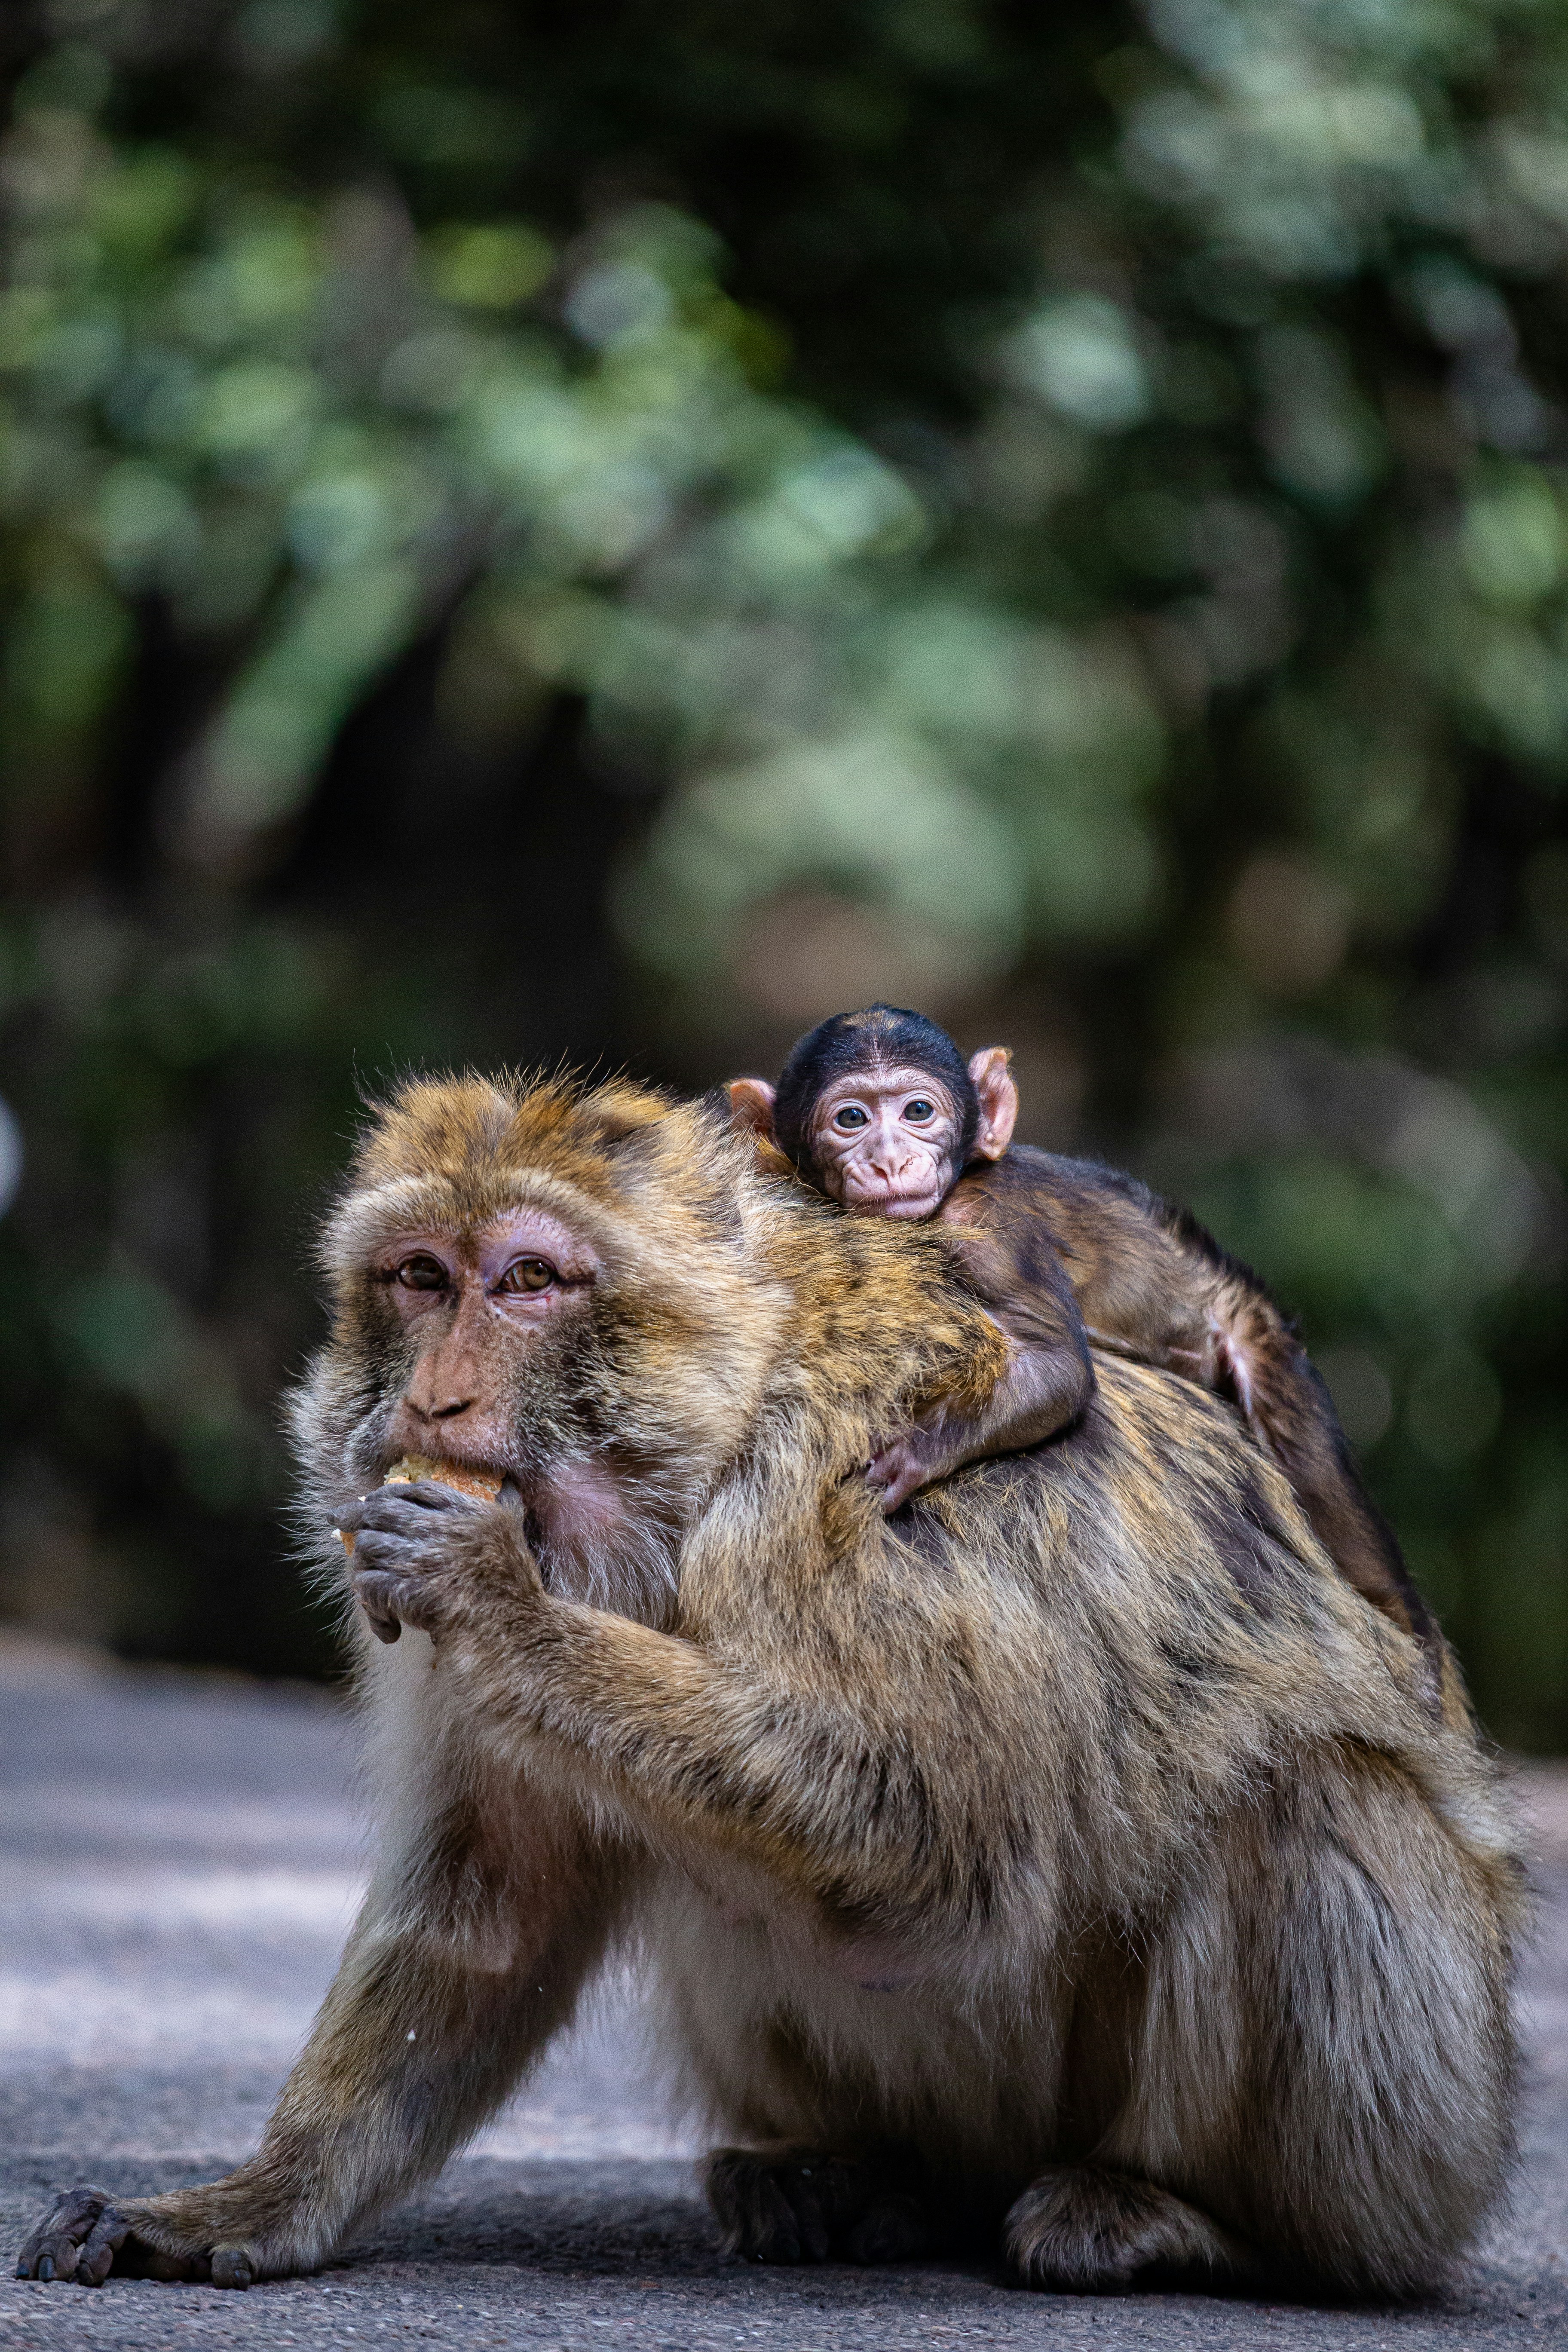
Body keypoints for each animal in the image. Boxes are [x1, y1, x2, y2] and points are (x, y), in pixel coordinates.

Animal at [728, 1004, 1457, 1718]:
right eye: (851, 1119)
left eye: (918, 1111)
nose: (889, 1159)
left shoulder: (989, 1227)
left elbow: (1058, 1370)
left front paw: (911, 1455)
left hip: (1259, 1338)